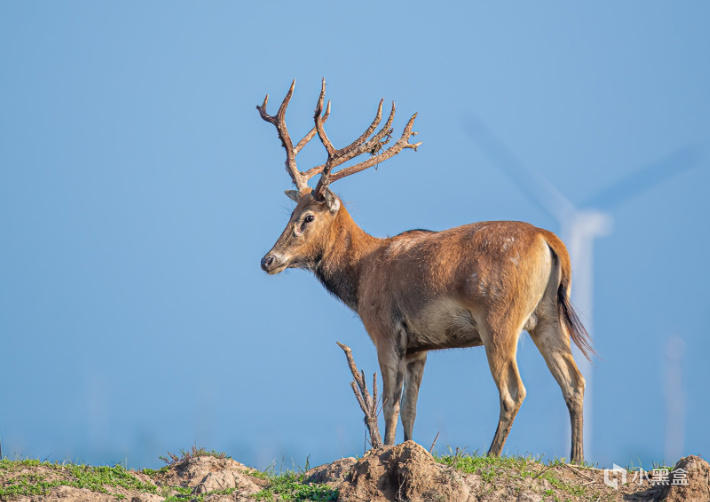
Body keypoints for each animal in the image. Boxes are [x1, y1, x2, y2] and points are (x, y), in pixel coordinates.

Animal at [257, 79, 593, 464]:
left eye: (307, 217)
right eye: (290, 212)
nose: (268, 260)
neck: (361, 274)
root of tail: (549, 240)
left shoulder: (385, 330)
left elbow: (390, 402)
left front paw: (384, 451)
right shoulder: (419, 347)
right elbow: (411, 408)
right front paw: (407, 449)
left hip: (500, 317)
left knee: (513, 391)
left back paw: (492, 455)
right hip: (548, 316)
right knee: (575, 381)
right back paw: (576, 459)